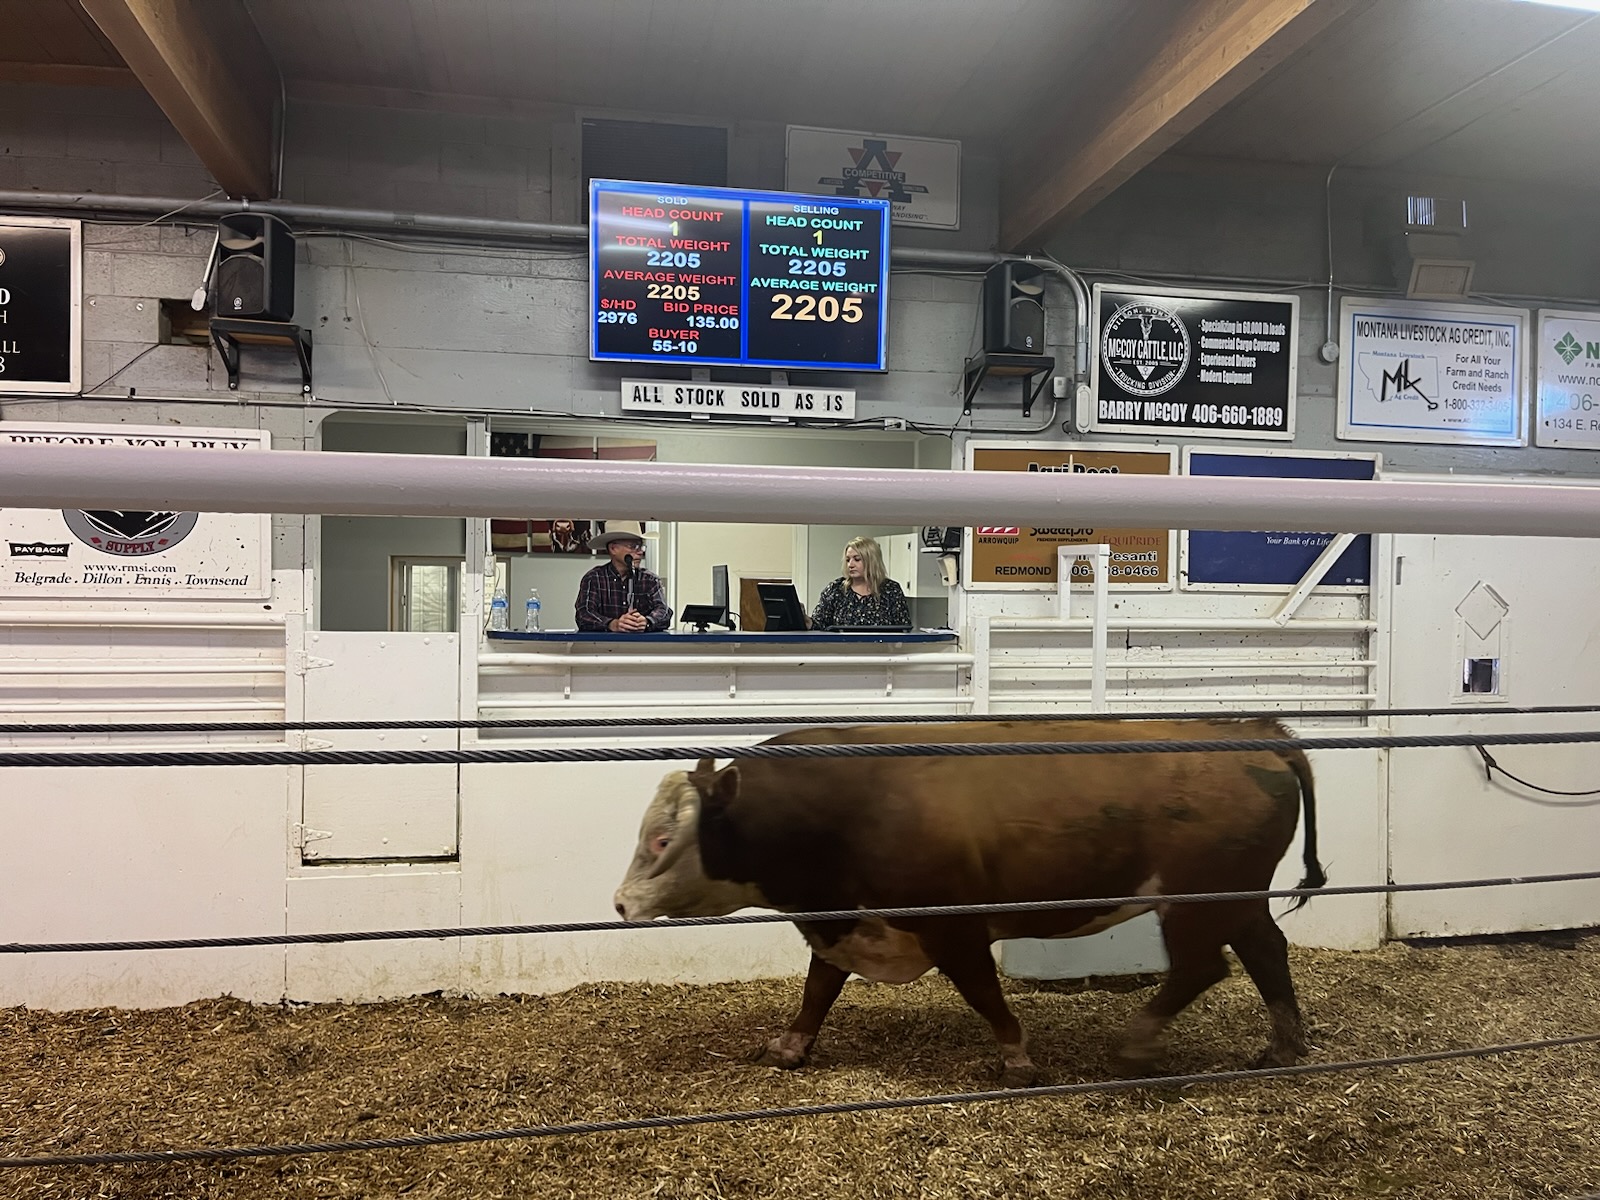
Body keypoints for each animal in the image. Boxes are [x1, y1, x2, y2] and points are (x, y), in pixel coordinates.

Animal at [613, 718, 1324, 1086]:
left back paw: (1138, 1043)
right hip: (1239, 895)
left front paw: (1016, 1057)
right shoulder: (843, 921)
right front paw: (789, 1048)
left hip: (1198, 898)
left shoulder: (952, 925)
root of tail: (1253, 732)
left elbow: (983, 991)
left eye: (662, 837)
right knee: (1265, 951)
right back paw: (1283, 1048)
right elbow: (818, 990)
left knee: (1204, 965)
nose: (620, 904)